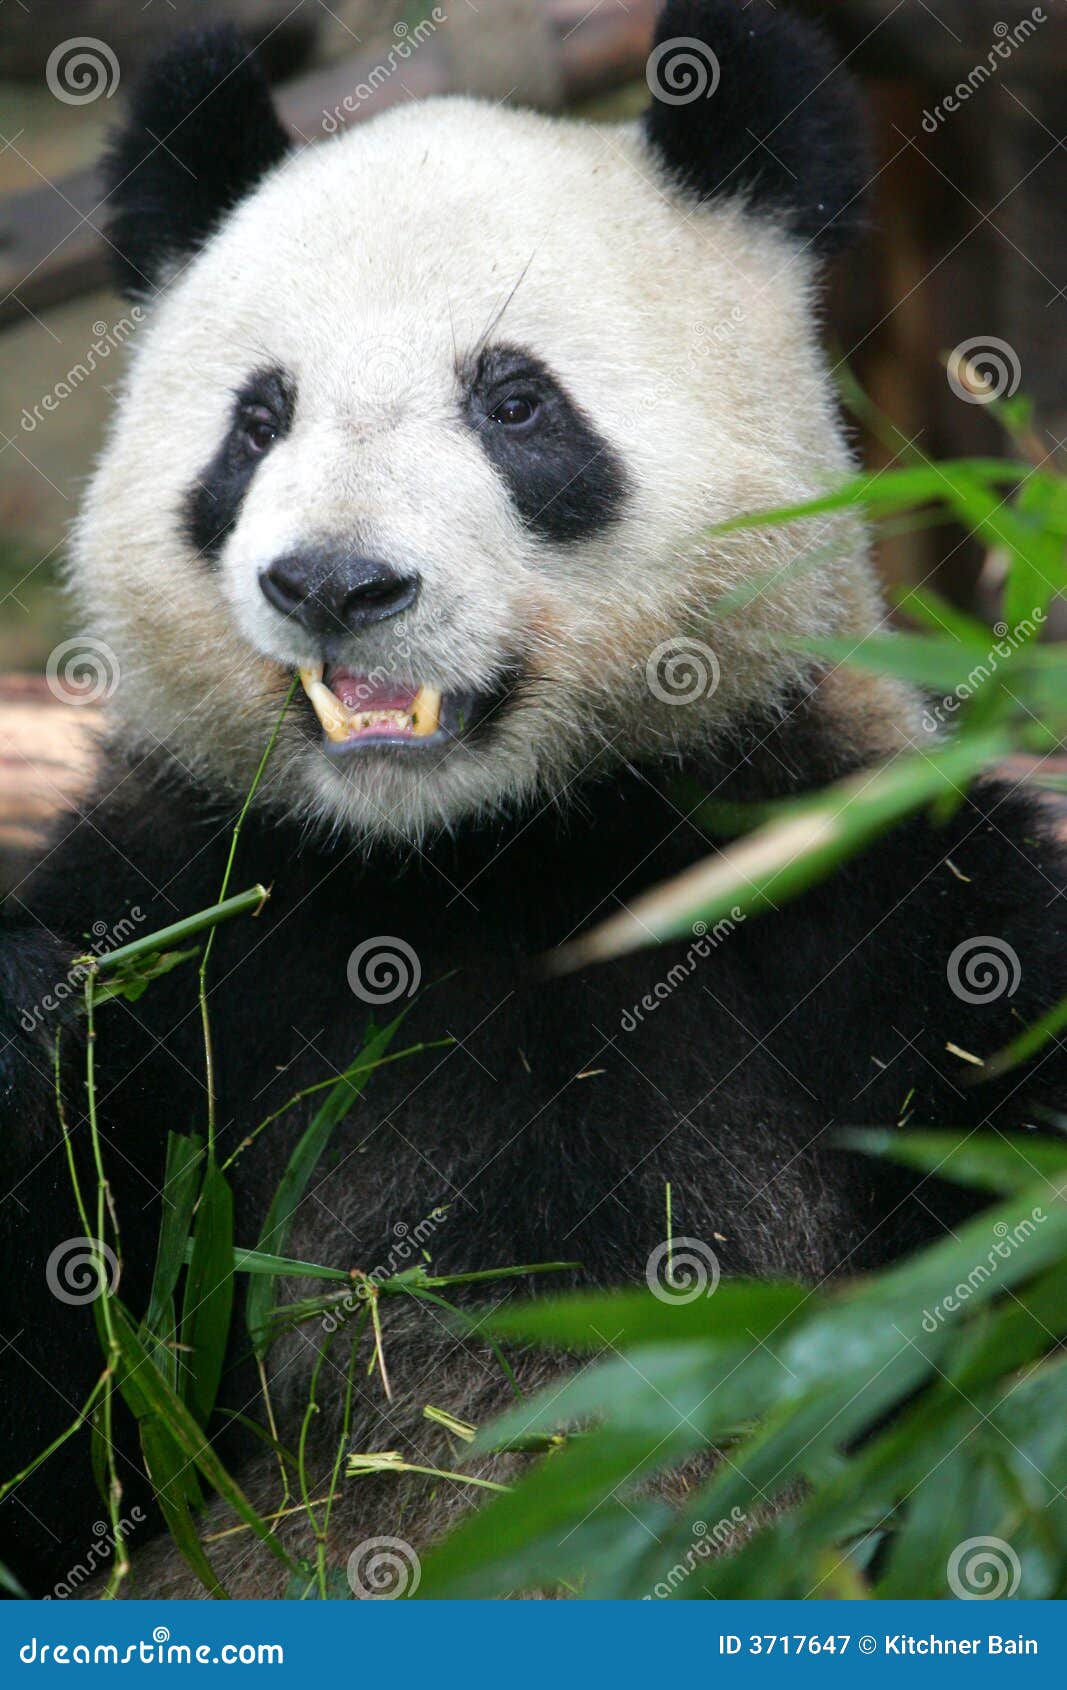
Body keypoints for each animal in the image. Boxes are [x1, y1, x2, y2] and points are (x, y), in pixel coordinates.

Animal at [0, 0, 1063, 1600]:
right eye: (256, 423)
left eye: (513, 403)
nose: (333, 585)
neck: (481, 858)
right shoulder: (186, 918)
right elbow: (72, 1447)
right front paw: (19, 1020)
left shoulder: (872, 903)